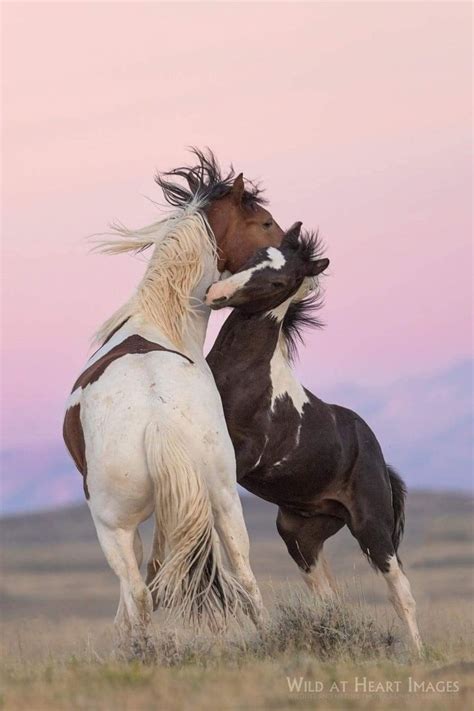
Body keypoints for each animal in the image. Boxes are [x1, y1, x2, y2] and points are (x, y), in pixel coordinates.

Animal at [63, 149, 285, 661]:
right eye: (265, 222)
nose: (301, 255)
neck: (156, 323)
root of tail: (158, 415)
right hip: (223, 496)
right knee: (244, 575)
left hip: (112, 525)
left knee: (137, 595)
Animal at [205, 223, 423, 655]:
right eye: (253, 257)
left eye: (279, 281)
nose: (215, 293)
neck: (244, 377)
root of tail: (380, 460)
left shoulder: (245, 455)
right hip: (301, 537)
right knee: (328, 598)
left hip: (372, 528)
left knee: (401, 593)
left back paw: (419, 655)